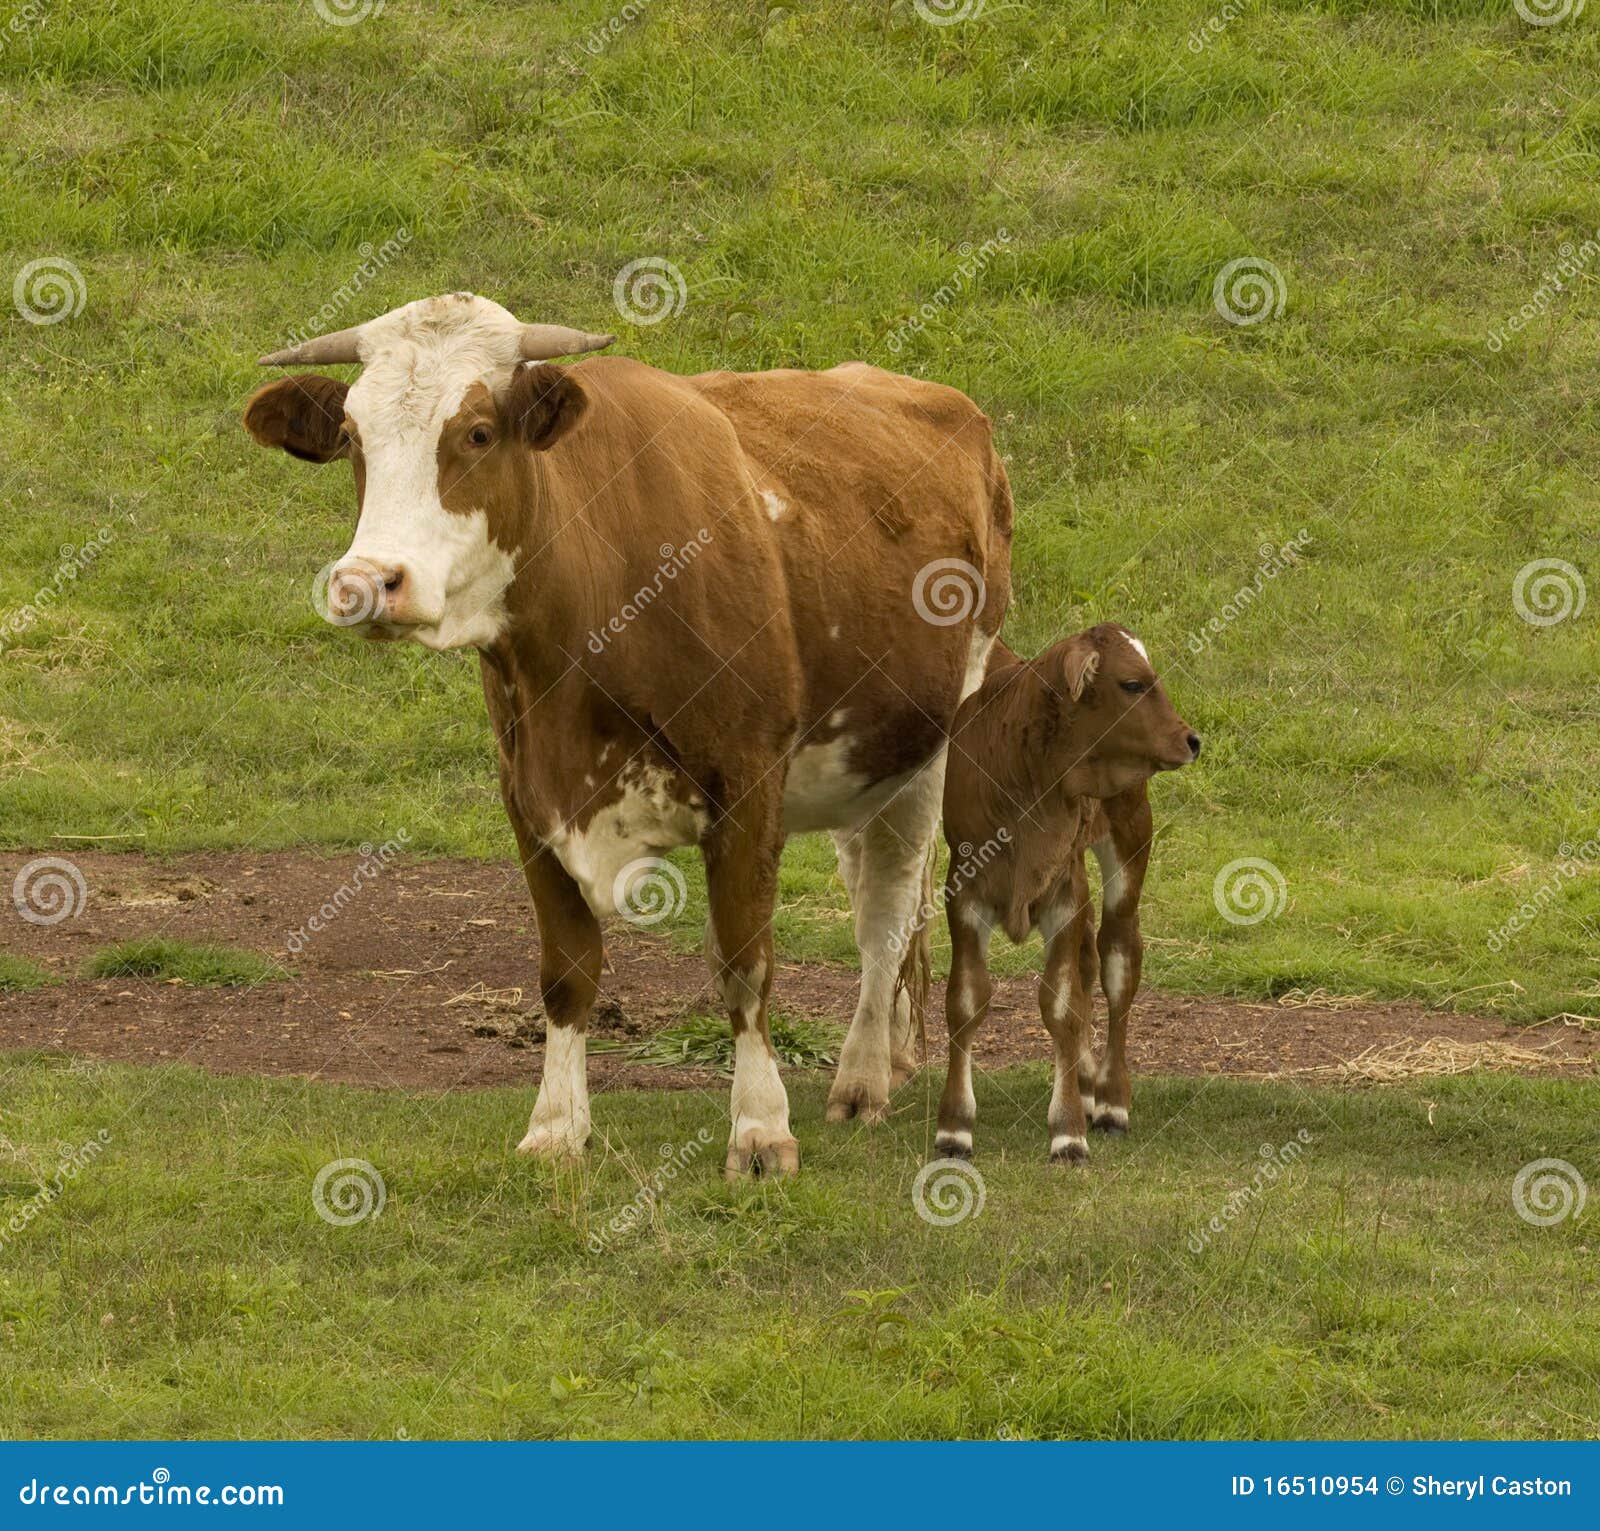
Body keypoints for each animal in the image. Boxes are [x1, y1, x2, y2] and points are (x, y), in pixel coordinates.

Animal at [243, 292, 1012, 1176]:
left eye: (477, 432)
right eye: (353, 438)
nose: (367, 583)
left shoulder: (749, 783)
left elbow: (745, 961)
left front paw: (760, 1127)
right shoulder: (526, 794)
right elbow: (567, 970)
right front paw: (555, 1125)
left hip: (937, 737)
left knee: (888, 912)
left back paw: (860, 1079)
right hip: (861, 762)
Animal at [934, 625, 1198, 1164]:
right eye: (1133, 683)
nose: (1191, 739)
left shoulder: (1064, 897)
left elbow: (1061, 1007)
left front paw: (1068, 1129)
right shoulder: (964, 895)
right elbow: (966, 1002)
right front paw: (955, 1126)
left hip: (1130, 839)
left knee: (1117, 961)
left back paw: (1111, 1099)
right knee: (1087, 965)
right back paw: (1088, 1082)